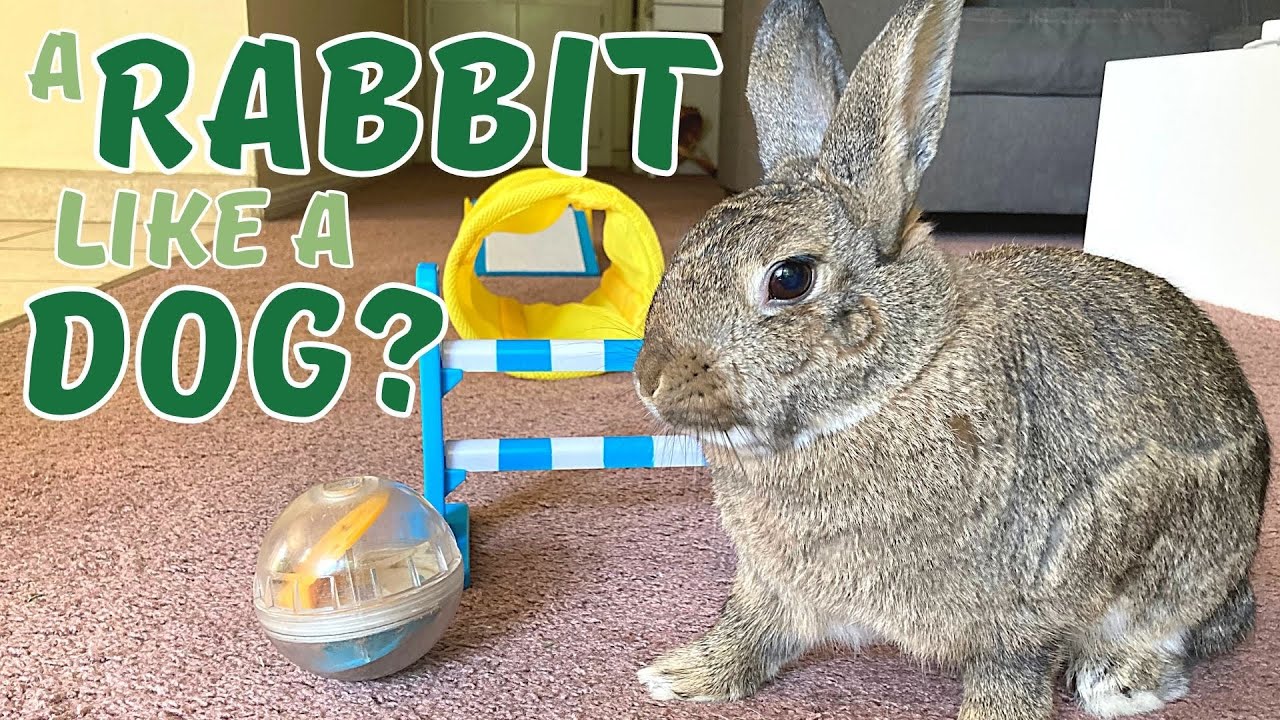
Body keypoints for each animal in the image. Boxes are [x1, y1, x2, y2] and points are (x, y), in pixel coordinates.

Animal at [630, 0, 1271, 718]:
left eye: (790, 279)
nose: (649, 379)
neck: (892, 385)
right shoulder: (773, 585)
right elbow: (752, 629)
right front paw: (680, 676)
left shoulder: (1023, 607)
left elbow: (1010, 671)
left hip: (1178, 559)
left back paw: (1119, 681)